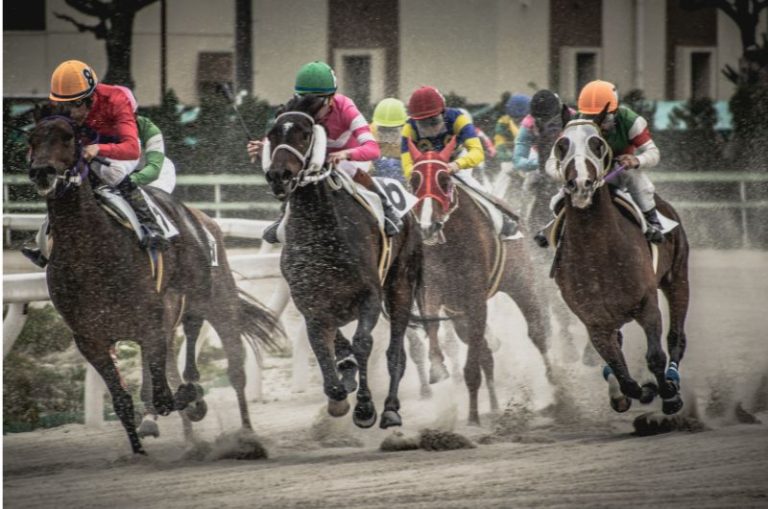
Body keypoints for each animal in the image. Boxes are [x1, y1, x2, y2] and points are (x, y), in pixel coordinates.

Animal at [27, 111, 282, 454]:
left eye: (67, 138)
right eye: (32, 139)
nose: (42, 171)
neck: (91, 251)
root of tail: (204, 219)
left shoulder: (151, 322)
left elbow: (165, 393)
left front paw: (191, 399)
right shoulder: (90, 338)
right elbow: (124, 400)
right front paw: (139, 450)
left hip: (217, 301)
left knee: (230, 364)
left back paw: (246, 436)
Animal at [263, 95, 423, 429]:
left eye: (305, 134)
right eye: (272, 134)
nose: (279, 176)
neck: (323, 232)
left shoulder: (370, 295)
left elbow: (362, 343)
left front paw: (364, 408)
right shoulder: (310, 301)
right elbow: (324, 345)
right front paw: (339, 392)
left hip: (401, 285)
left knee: (395, 353)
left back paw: (390, 409)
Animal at [406, 137, 555, 425]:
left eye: (444, 180)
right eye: (413, 181)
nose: (427, 226)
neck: (450, 243)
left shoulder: (476, 298)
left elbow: (474, 363)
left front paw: (474, 418)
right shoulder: (434, 288)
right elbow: (432, 325)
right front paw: (437, 366)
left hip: (521, 281)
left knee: (537, 331)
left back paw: (558, 387)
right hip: (458, 312)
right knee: (484, 350)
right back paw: (494, 405)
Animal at [548, 118, 689, 415]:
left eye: (597, 143)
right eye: (561, 144)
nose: (580, 184)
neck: (597, 253)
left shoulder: (647, 303)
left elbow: (655, 356)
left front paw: (668, 394)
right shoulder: (595, 322)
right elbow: (621, 372)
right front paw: (641, 391)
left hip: (678, 277)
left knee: (676, 336)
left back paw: (673, 380)